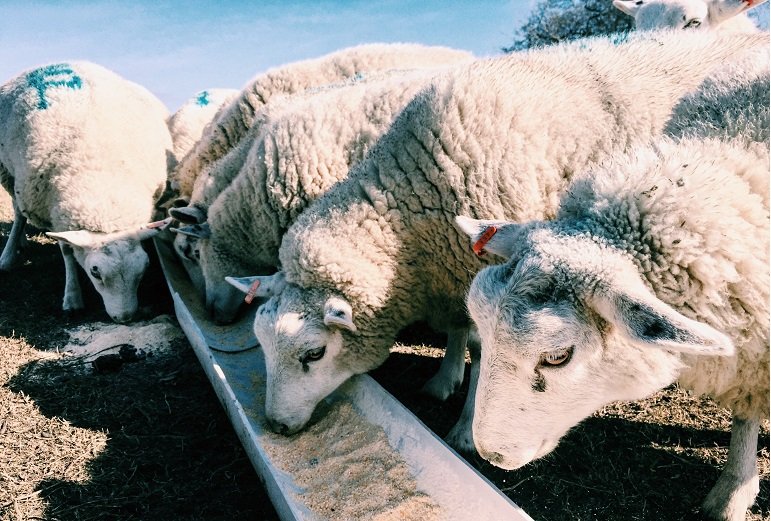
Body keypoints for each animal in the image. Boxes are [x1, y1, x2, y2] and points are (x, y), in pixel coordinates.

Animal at [0, 61, 173, 323]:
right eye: (95, 272)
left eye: (144, 267)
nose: (125, 318)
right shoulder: (54, 212)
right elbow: (67, 253)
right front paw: (72, 298)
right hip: (9, 173)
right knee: (18, 213)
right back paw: (9, 254)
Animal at [223, 30, 769, 451]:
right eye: (261, 344)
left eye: (313, 354)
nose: (276, 427)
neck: (407, 210)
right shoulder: (450, 273)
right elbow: (458, 331)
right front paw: (445, 379)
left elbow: (484, 352)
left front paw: (465, 431)